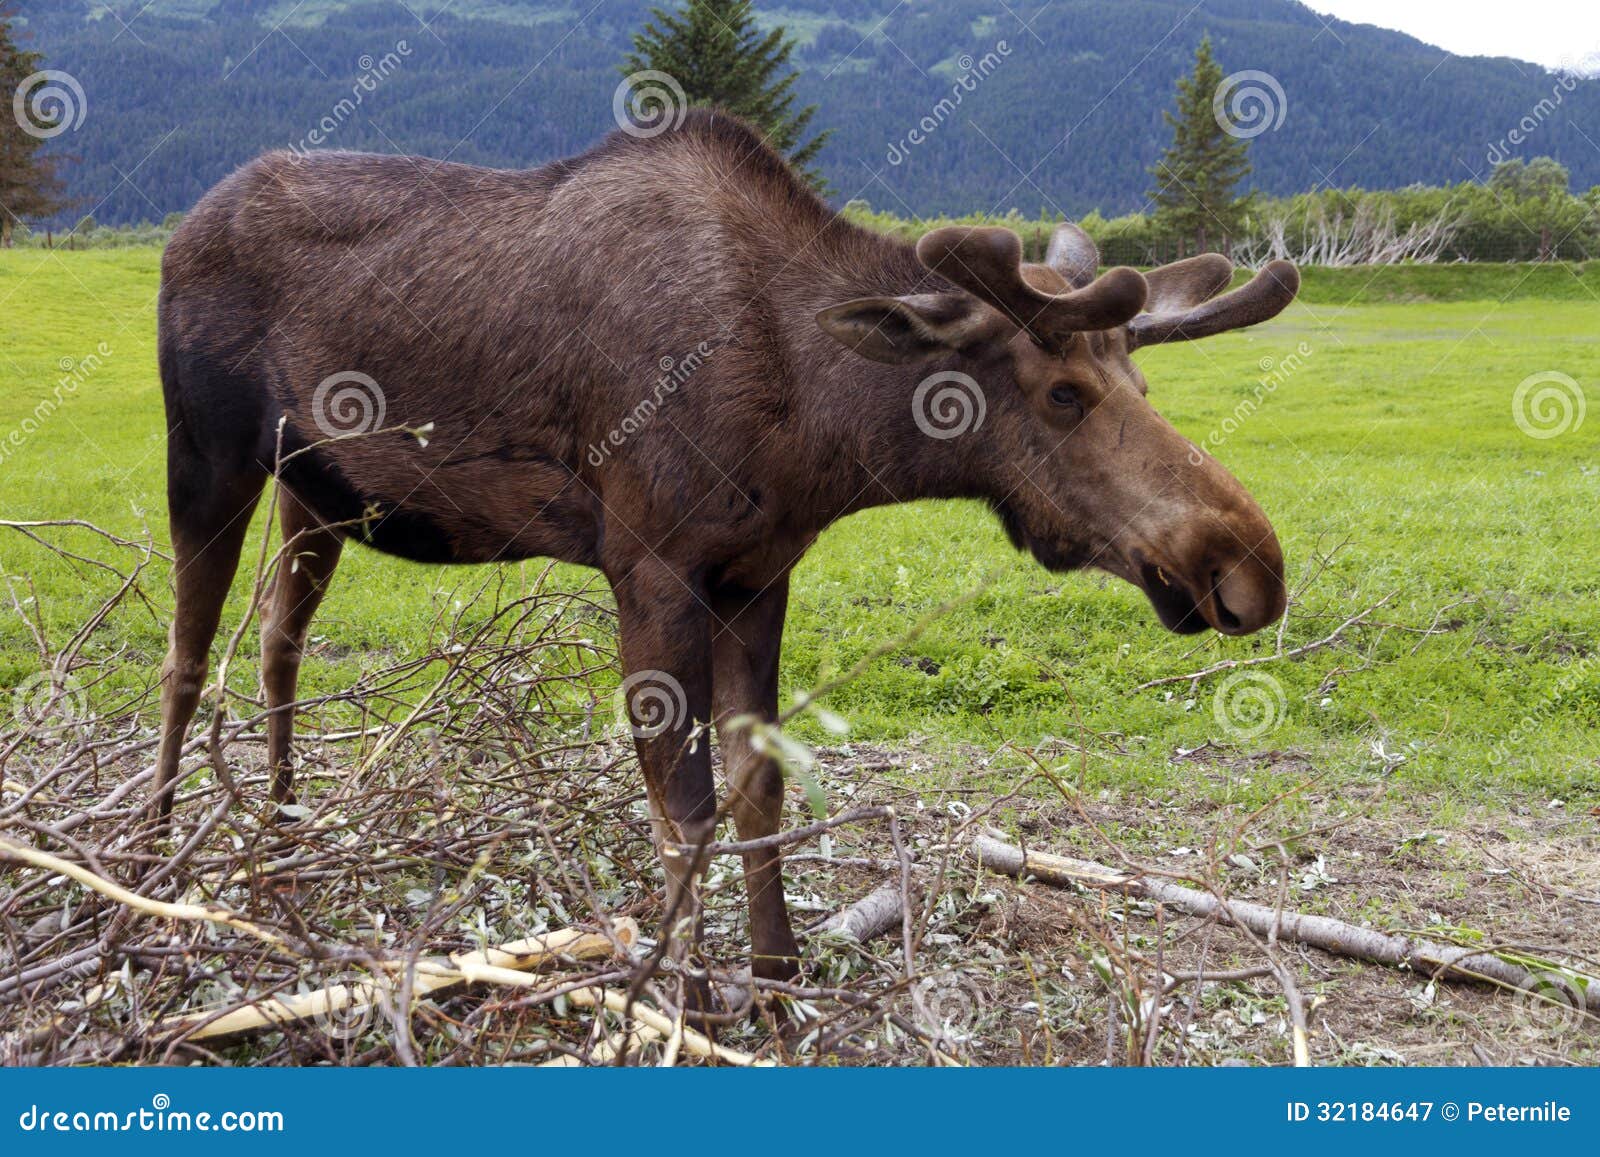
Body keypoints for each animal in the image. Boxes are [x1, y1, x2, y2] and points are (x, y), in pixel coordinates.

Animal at [152, 109, 1298, 1005]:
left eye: (1139, 386)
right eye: (1064, 392)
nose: (1249, 566)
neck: (817, 428)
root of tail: (181, 227)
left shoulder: (759, 570)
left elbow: (759, 787)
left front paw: (779, 983)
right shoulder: (651, 565)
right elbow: (684, 805)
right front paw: (687, 996)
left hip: (315, 486)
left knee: (279, 640)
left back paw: (285, 832)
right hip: (207, 453)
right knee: (187, 654)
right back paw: (159, 857)